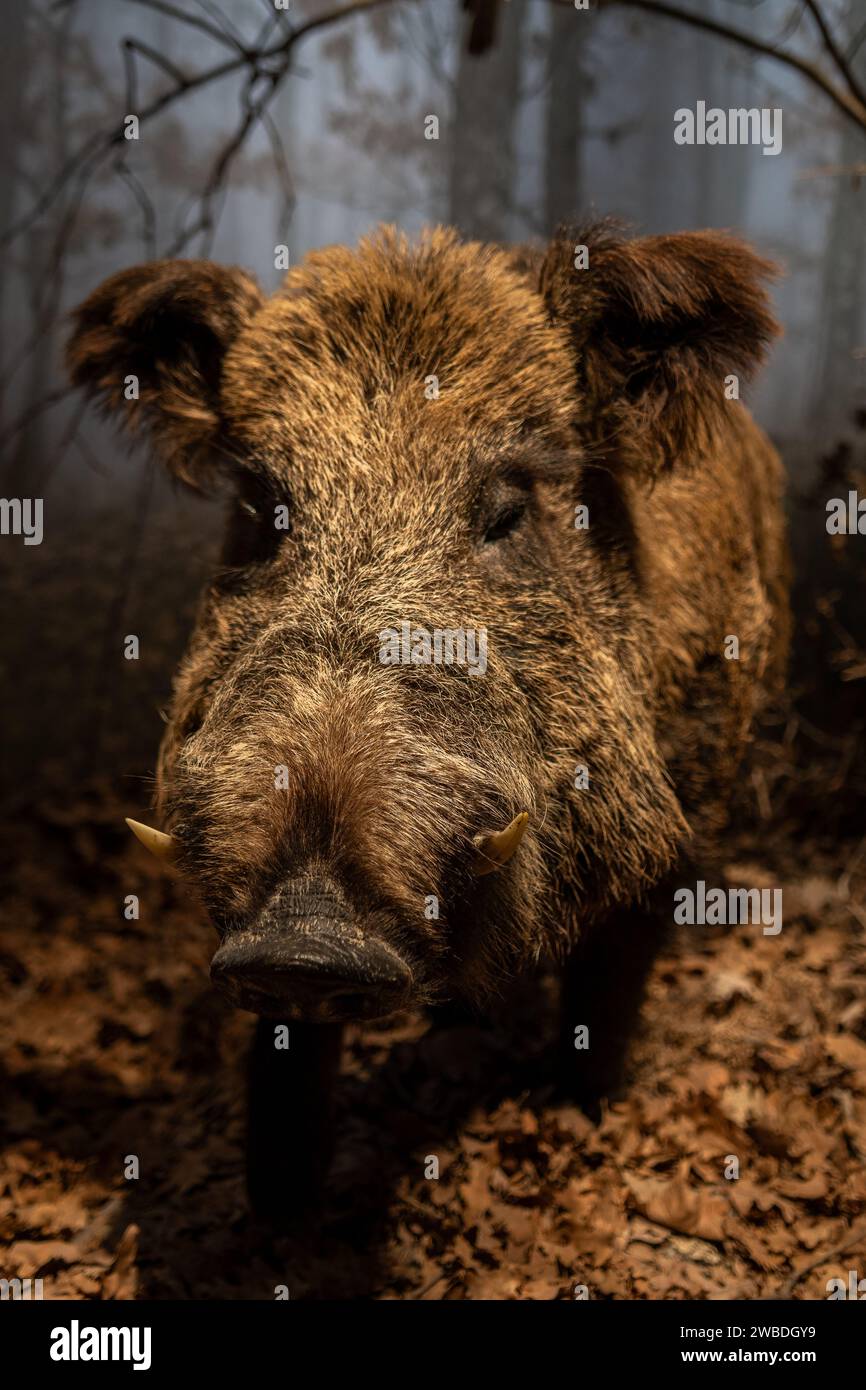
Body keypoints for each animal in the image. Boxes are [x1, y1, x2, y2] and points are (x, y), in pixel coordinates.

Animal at [67, 222, 789, 1225]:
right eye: (265, 511)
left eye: (509, 512)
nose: (307, 937)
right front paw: (281, 1215)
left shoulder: (688, 809)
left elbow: (611, 986)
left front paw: (584, 1110)